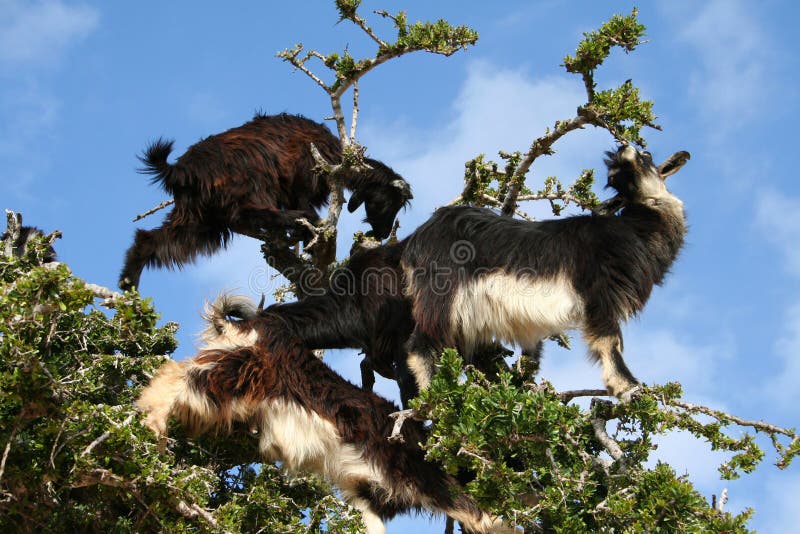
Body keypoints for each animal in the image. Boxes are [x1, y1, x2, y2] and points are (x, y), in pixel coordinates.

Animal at [119, 113, 412, 290]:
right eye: (390, 202)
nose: (383, 232)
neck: (340, 158)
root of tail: (184, 169)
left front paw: (303, 237)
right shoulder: (304, 174)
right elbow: (304, 203)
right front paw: (306, 232)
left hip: (198, 217)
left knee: (156, 239)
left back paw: (128, 280)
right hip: (248, 184)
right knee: (252, 212)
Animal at [137, 319, 517, 534]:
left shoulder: (366, 493)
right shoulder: (421, 477)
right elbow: (480, 512)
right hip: (241, 374)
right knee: (178, 375)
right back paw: (152, 423)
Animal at [401, 145, 690, 400]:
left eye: (646, 155)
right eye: (612, 177)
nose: (622, 149)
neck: (636, 231)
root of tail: (414, 240)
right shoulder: (600, 294)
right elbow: (610, 342)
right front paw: (627, 387)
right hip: (442, 293)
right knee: (420, 346)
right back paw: (436, 397)